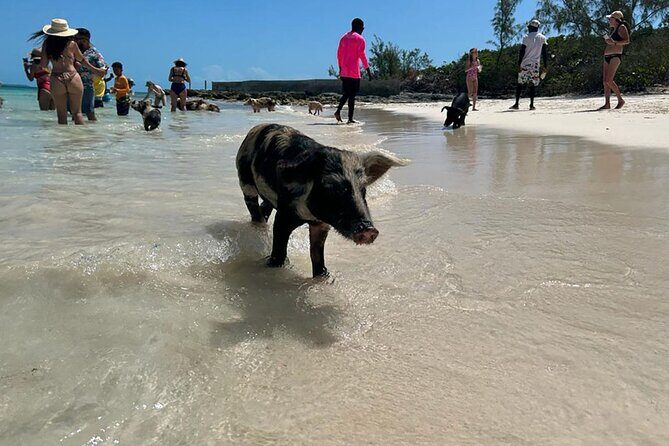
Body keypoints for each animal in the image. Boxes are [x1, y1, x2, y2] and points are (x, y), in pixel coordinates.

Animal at [236, 123, 409, 277]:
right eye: (330, 187)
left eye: (363, 189)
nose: (369, 229)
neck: (310, 216)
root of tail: (254, 129)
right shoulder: (284, 214)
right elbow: (279, 247)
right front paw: (273, 264)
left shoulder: (321, 225)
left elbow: (317, 254)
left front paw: (323, 276)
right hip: (245, 182)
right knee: (253, 207)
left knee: (265, 205)